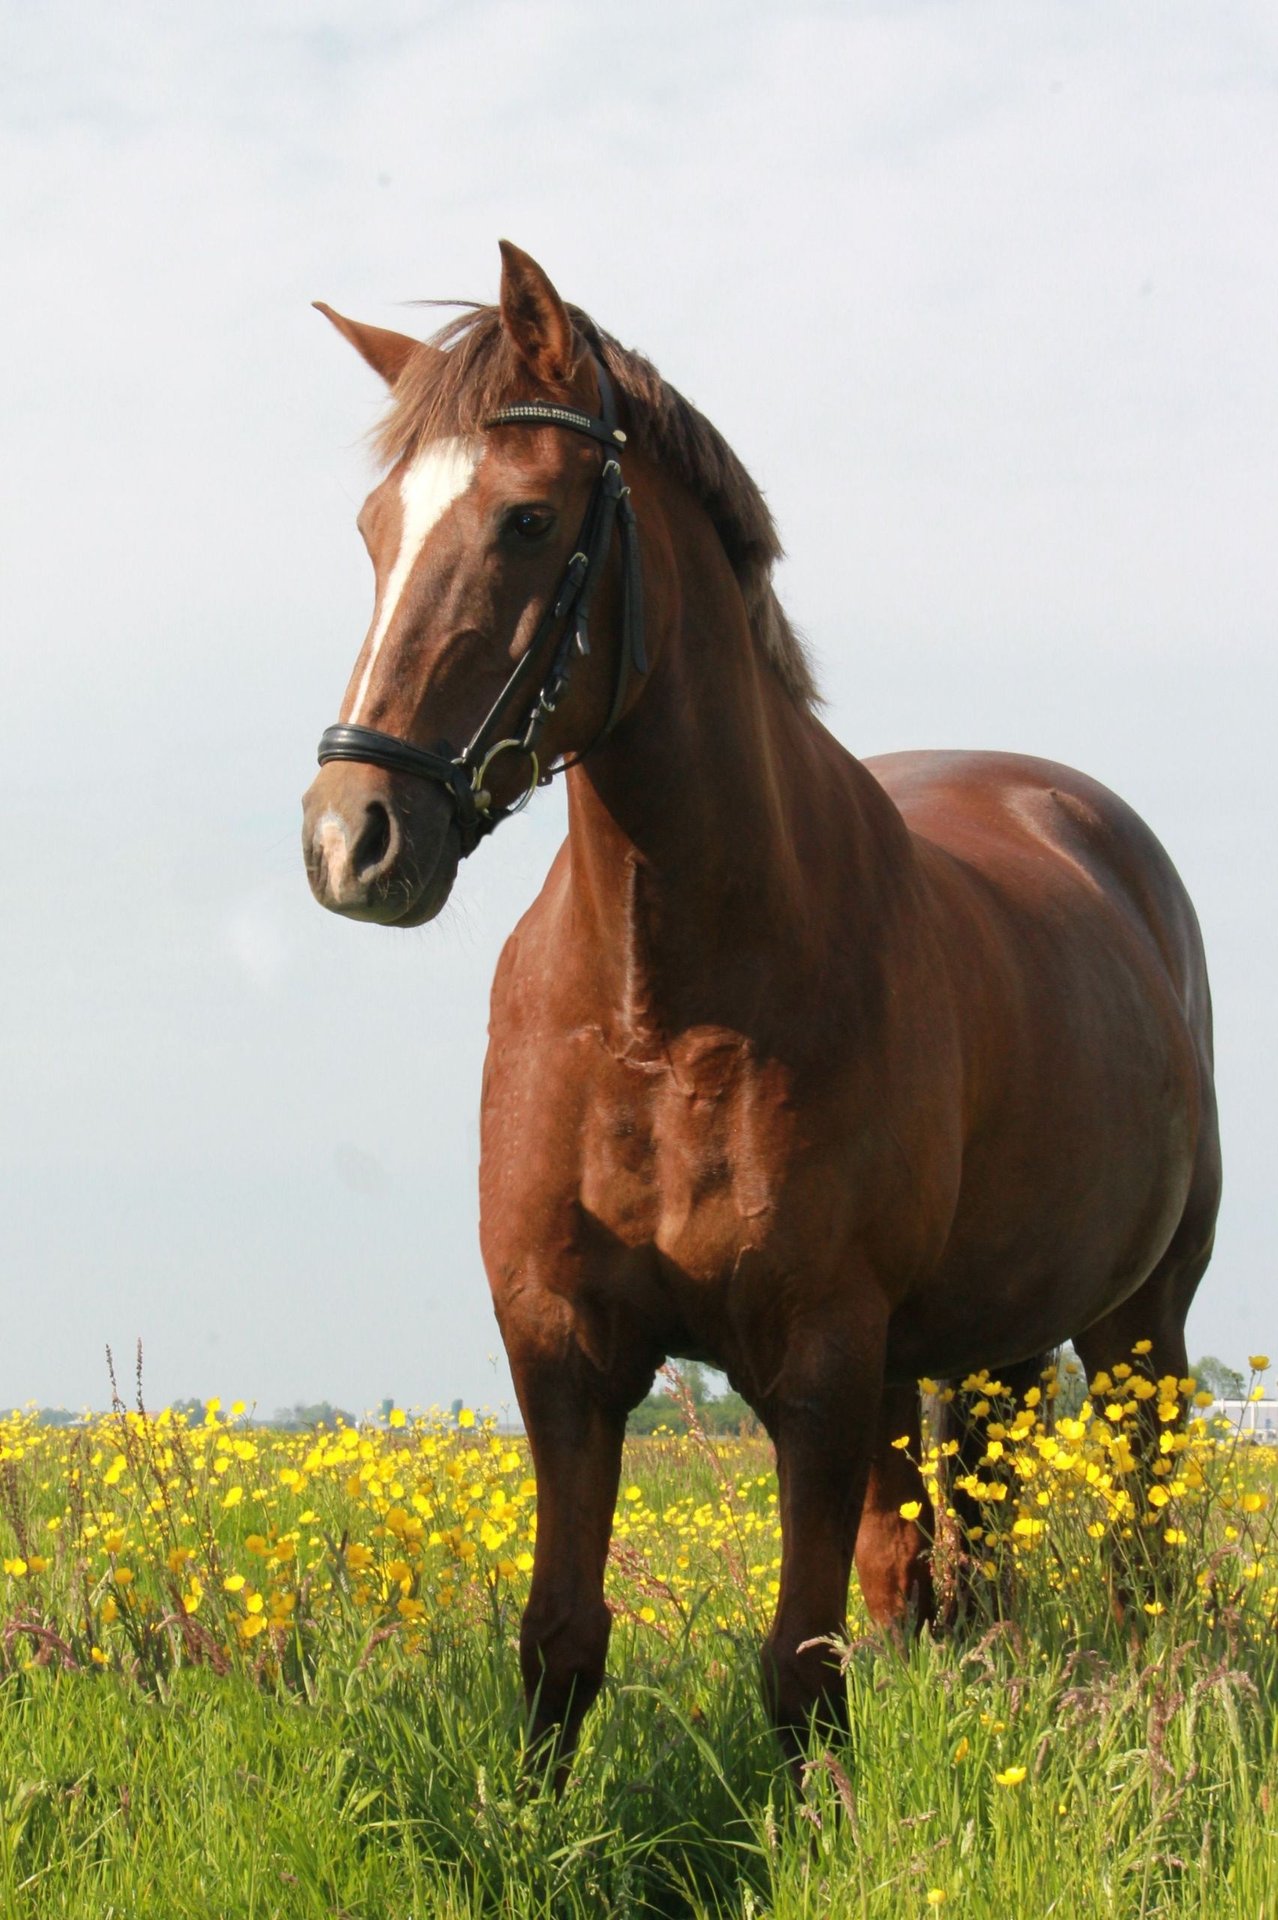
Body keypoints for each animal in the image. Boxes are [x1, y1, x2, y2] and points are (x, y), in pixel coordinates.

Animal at [301, 241, 1220, 1769]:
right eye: (377, 528)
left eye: (528, 520)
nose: (351, 838)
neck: (658, 1009)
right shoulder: (563, 1348)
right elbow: (562, 1641)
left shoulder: (821, 1357)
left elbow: (799, 1670)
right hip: (975, 1350)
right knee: (946, 1566)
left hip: (1138, 1325)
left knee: (1140, 1553)